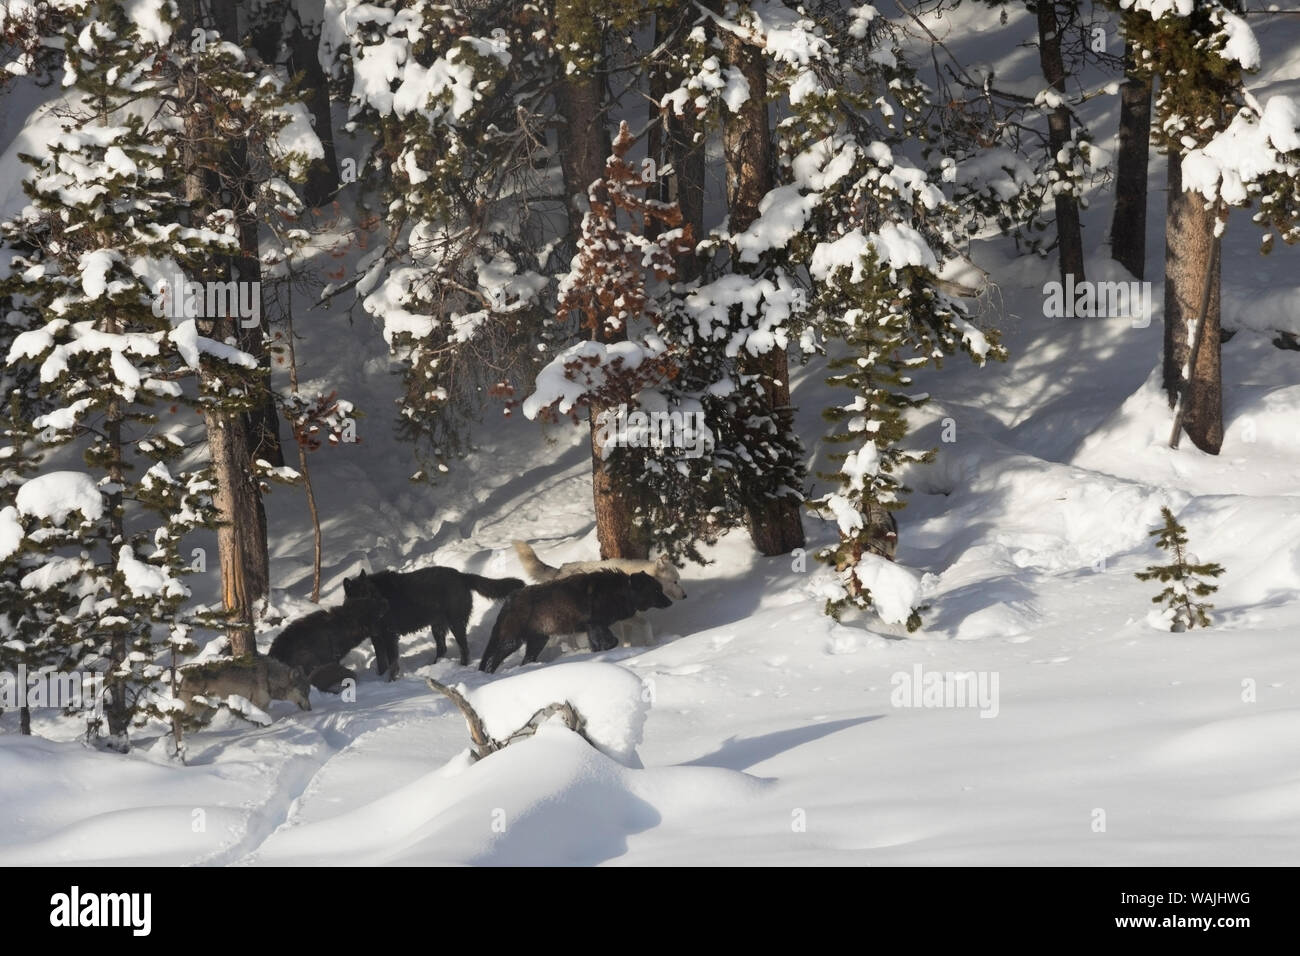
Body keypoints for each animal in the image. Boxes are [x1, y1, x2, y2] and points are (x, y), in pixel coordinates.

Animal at [177, 655, 312, 717]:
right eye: (304, 693)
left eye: (308, 693)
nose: (311, 709)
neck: (269, 676)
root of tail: (184, 675)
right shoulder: (256, 705)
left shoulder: (264, 706)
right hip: (196, 709)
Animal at [342, 566, 524, 675]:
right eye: (366, 596)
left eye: (373, 593)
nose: (385, 605)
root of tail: (461, 575)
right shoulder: (377, 638)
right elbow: (381, 663)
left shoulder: (389, 636)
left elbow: (392, 663)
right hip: (438, 627)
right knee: (443, 649)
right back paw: (434, 667)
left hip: (455, 623)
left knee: (464, 649)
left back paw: (459, 667)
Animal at [479, 570, 673, 674]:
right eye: (656, 590)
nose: (671, 603)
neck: (622, 590)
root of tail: (510, 599)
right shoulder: (596, 625)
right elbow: (612, 641)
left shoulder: (592, 629)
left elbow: (600, 645)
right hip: (512, 641)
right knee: (491, 660)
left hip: (537, 642)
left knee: (525, 661)